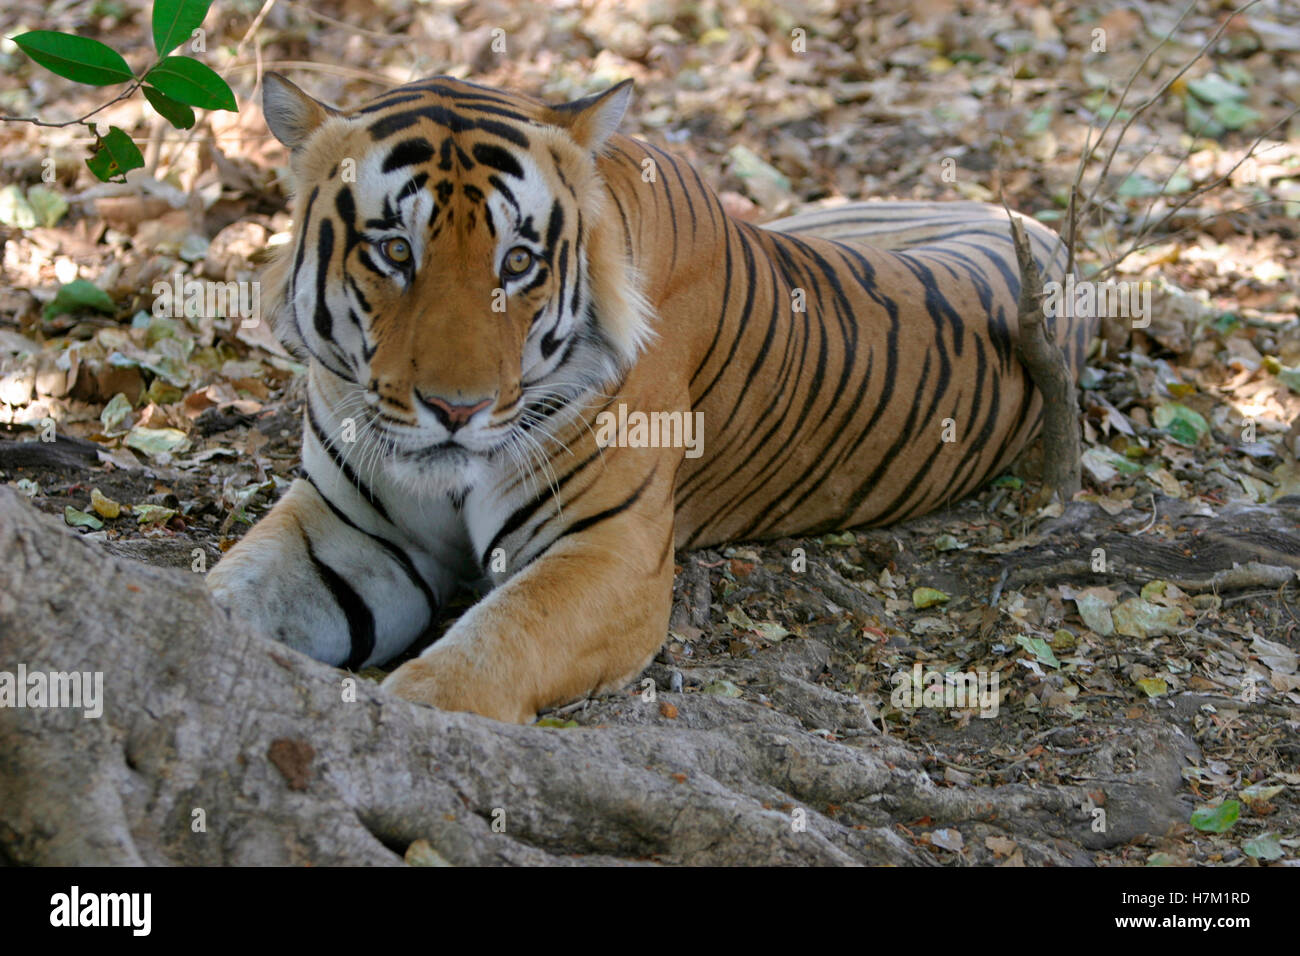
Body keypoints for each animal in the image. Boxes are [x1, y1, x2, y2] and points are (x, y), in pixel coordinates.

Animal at [205, 71, 1096, 723]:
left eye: (519, 262)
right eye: (394, 250)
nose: (456, 411)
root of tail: (1020, 218)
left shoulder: (613, 552)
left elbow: (497, 640)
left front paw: (413, 715)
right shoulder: (348, 527)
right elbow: (229, 590)